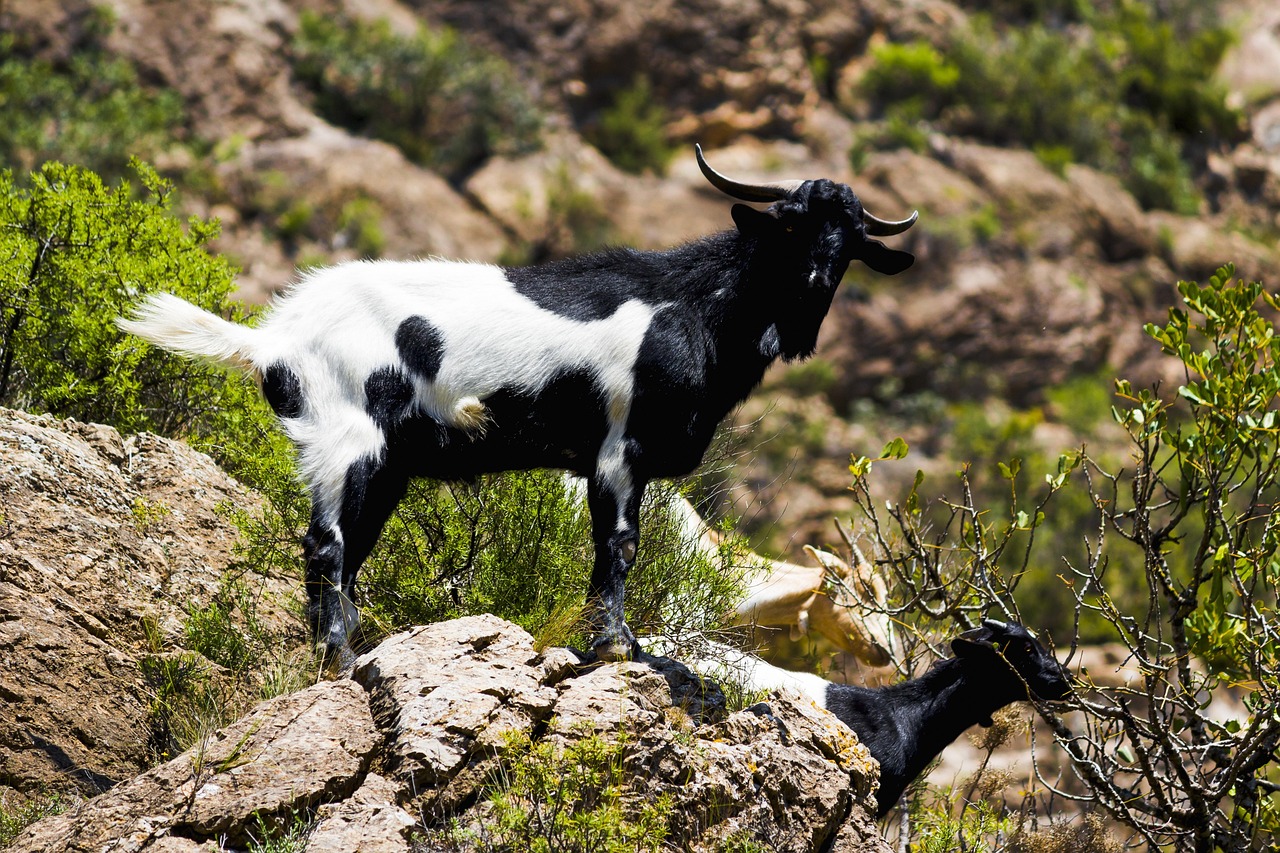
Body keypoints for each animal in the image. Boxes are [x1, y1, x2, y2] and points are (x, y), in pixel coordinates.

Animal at [116, 145, 917, 668]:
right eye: (791, 222)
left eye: (849, 241)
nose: (813, 290)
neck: (691, 306)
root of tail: (274, 337)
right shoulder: (617, 452)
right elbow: (619, 545)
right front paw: (615, 645)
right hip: (346, 442)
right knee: (327, 545)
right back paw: (341, 658)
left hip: (386, 464)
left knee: (349, 548)